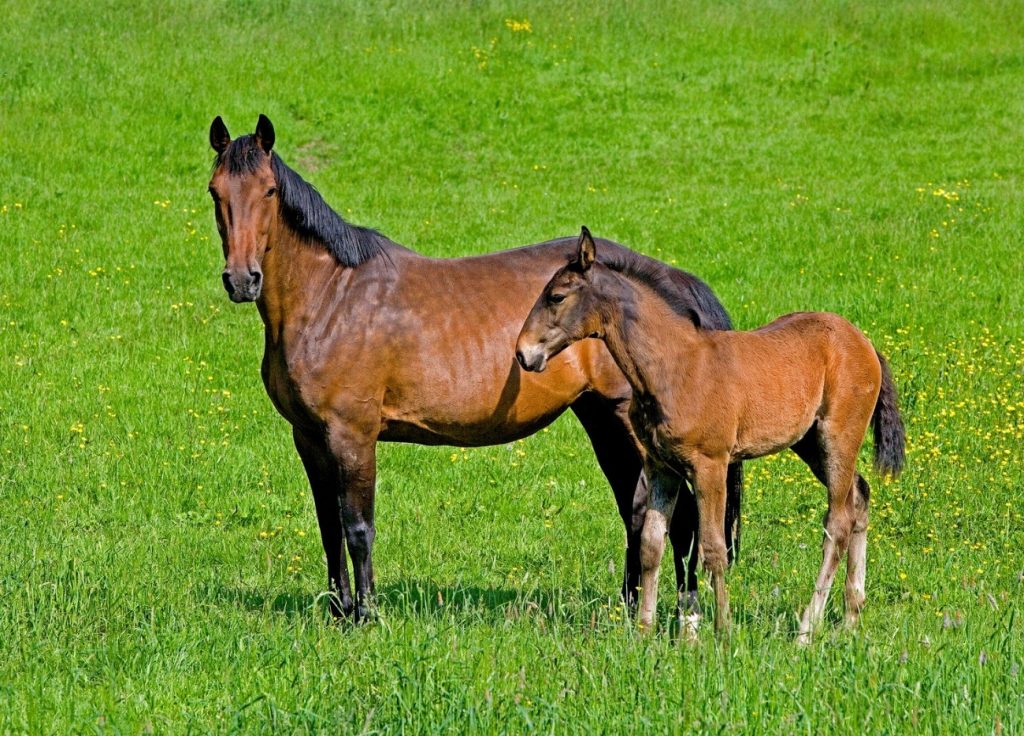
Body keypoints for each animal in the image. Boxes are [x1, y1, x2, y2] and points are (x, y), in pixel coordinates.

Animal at [206, 115, 743, 622]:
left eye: (269, 190)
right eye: (215, 191)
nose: (242, 280)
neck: (332, 298)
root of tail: (670, 281)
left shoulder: (351, 435)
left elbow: (357, 528)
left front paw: (365, 616)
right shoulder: (310, 438)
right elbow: (328, 528)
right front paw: (340, 613)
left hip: (628, 423)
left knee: (678, 516)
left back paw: (686, 610)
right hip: (603, 420)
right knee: (636, 510)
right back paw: (630, 607)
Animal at [516, 227, 905, 641]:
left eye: (556, 296)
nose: (523, 354)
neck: (674, 366)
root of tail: (866, 344)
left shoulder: (711, 465)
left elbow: (714, 548)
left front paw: (722, 631)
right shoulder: (661, 466)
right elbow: (652, 544)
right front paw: (644, 631)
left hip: (838, 438)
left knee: (838, 523)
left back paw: (806, 628)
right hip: (810, 443)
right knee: (860, 496)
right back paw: (850, 617)